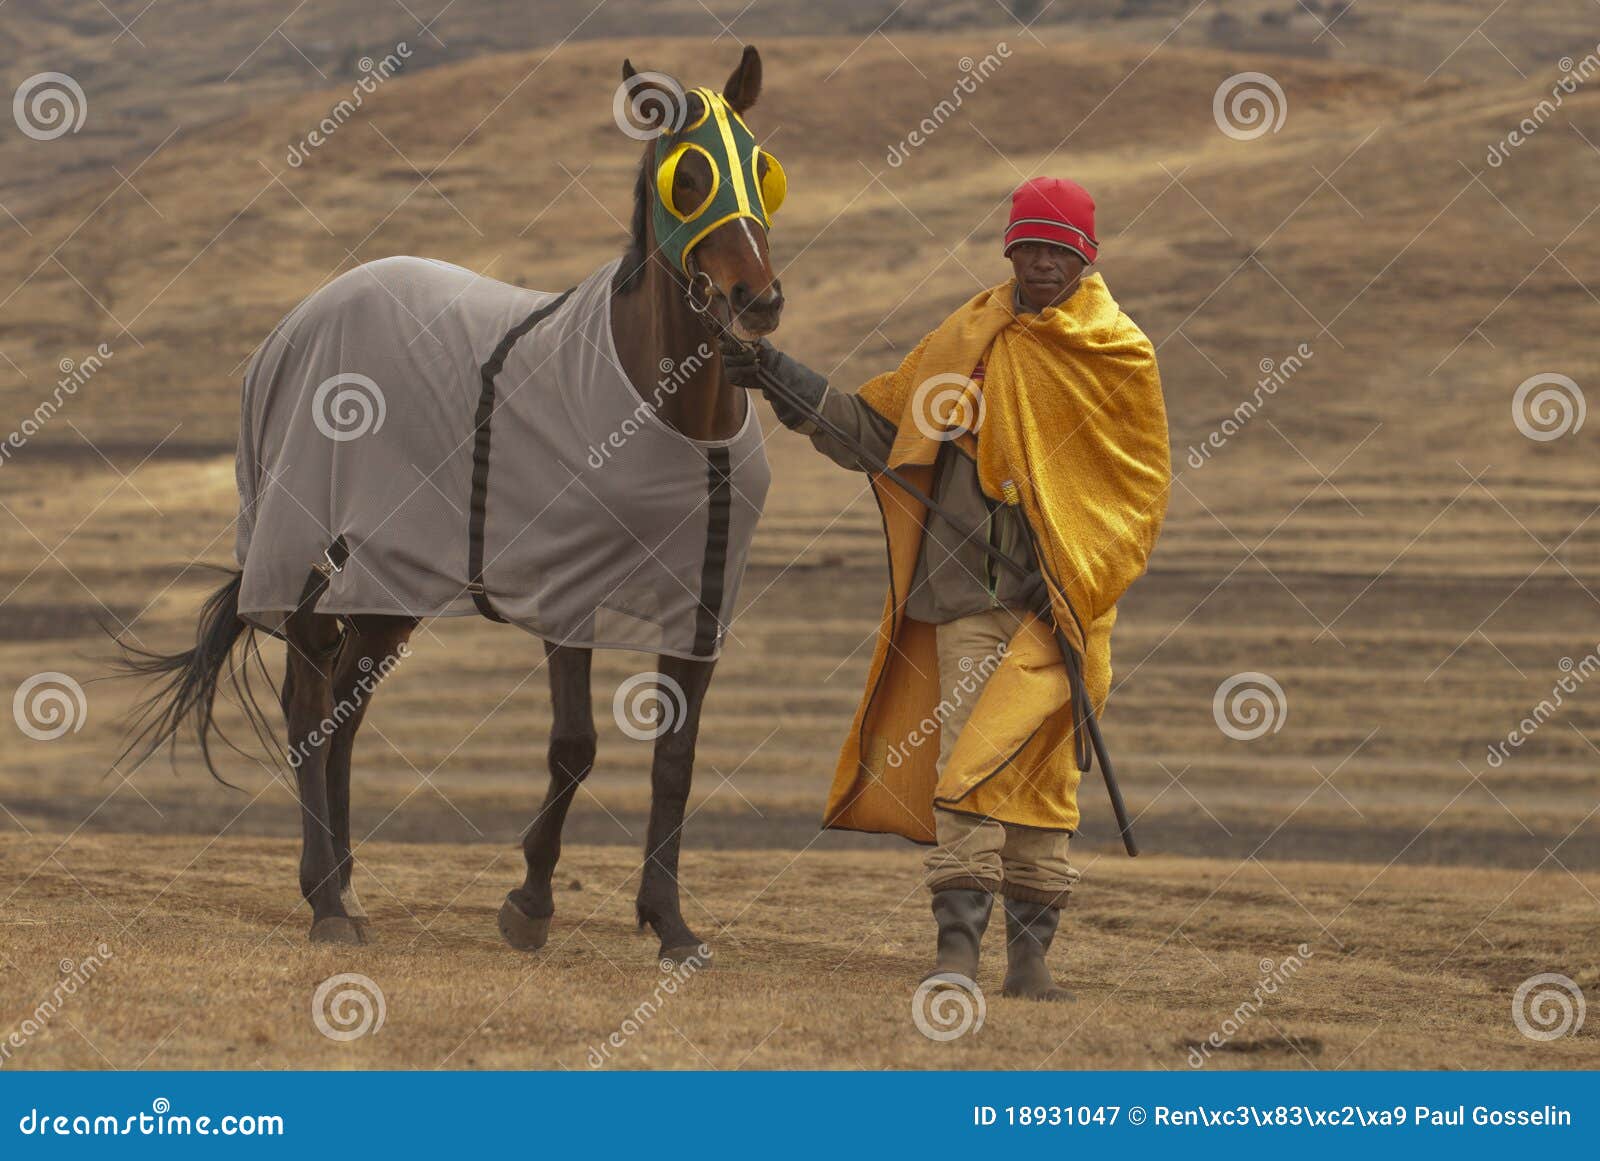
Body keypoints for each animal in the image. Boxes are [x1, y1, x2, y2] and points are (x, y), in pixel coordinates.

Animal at [115, 47, 785, 964]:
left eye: (764, 167)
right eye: (687, 176)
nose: (758, 298)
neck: (673, 414)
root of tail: (299, 322)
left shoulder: (701, 608)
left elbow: (675, 760)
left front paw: (670, 921)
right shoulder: (566, 594)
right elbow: (574, 747)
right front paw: (530, 901)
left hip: (386, 589)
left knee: (346, 710)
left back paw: (344, 885)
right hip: (311, 564)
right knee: (309, 707)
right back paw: (326, 900)